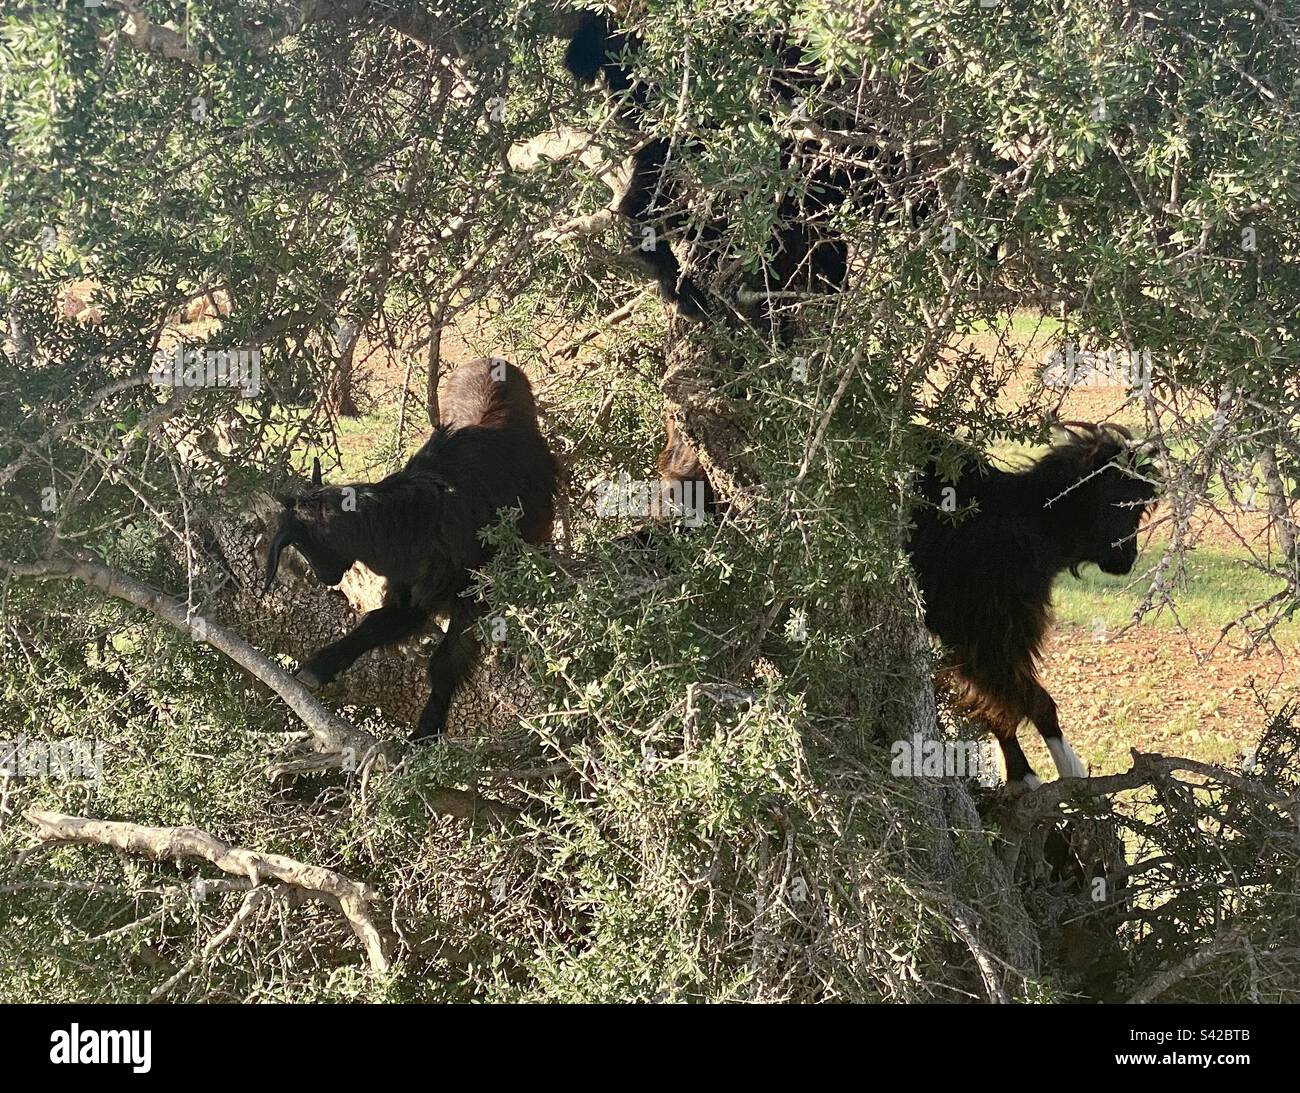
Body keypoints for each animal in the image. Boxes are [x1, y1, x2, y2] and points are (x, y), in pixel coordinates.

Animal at [263, 358, 558, 739]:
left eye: (301, 539)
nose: (326, 577)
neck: (410, 522)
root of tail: (491, 362)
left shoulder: (470, 593)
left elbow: (445, 663)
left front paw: (426, 732)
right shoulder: (412, 596)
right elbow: (375, 624)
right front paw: (319, 666)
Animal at [906, 422, 1158, 789]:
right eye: (1119, 500)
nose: (1126, 558)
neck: (1031, 526)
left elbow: (996, 703)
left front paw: (1020, 773)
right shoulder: (982, 632)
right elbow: (1033, 703)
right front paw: (1055, 773)